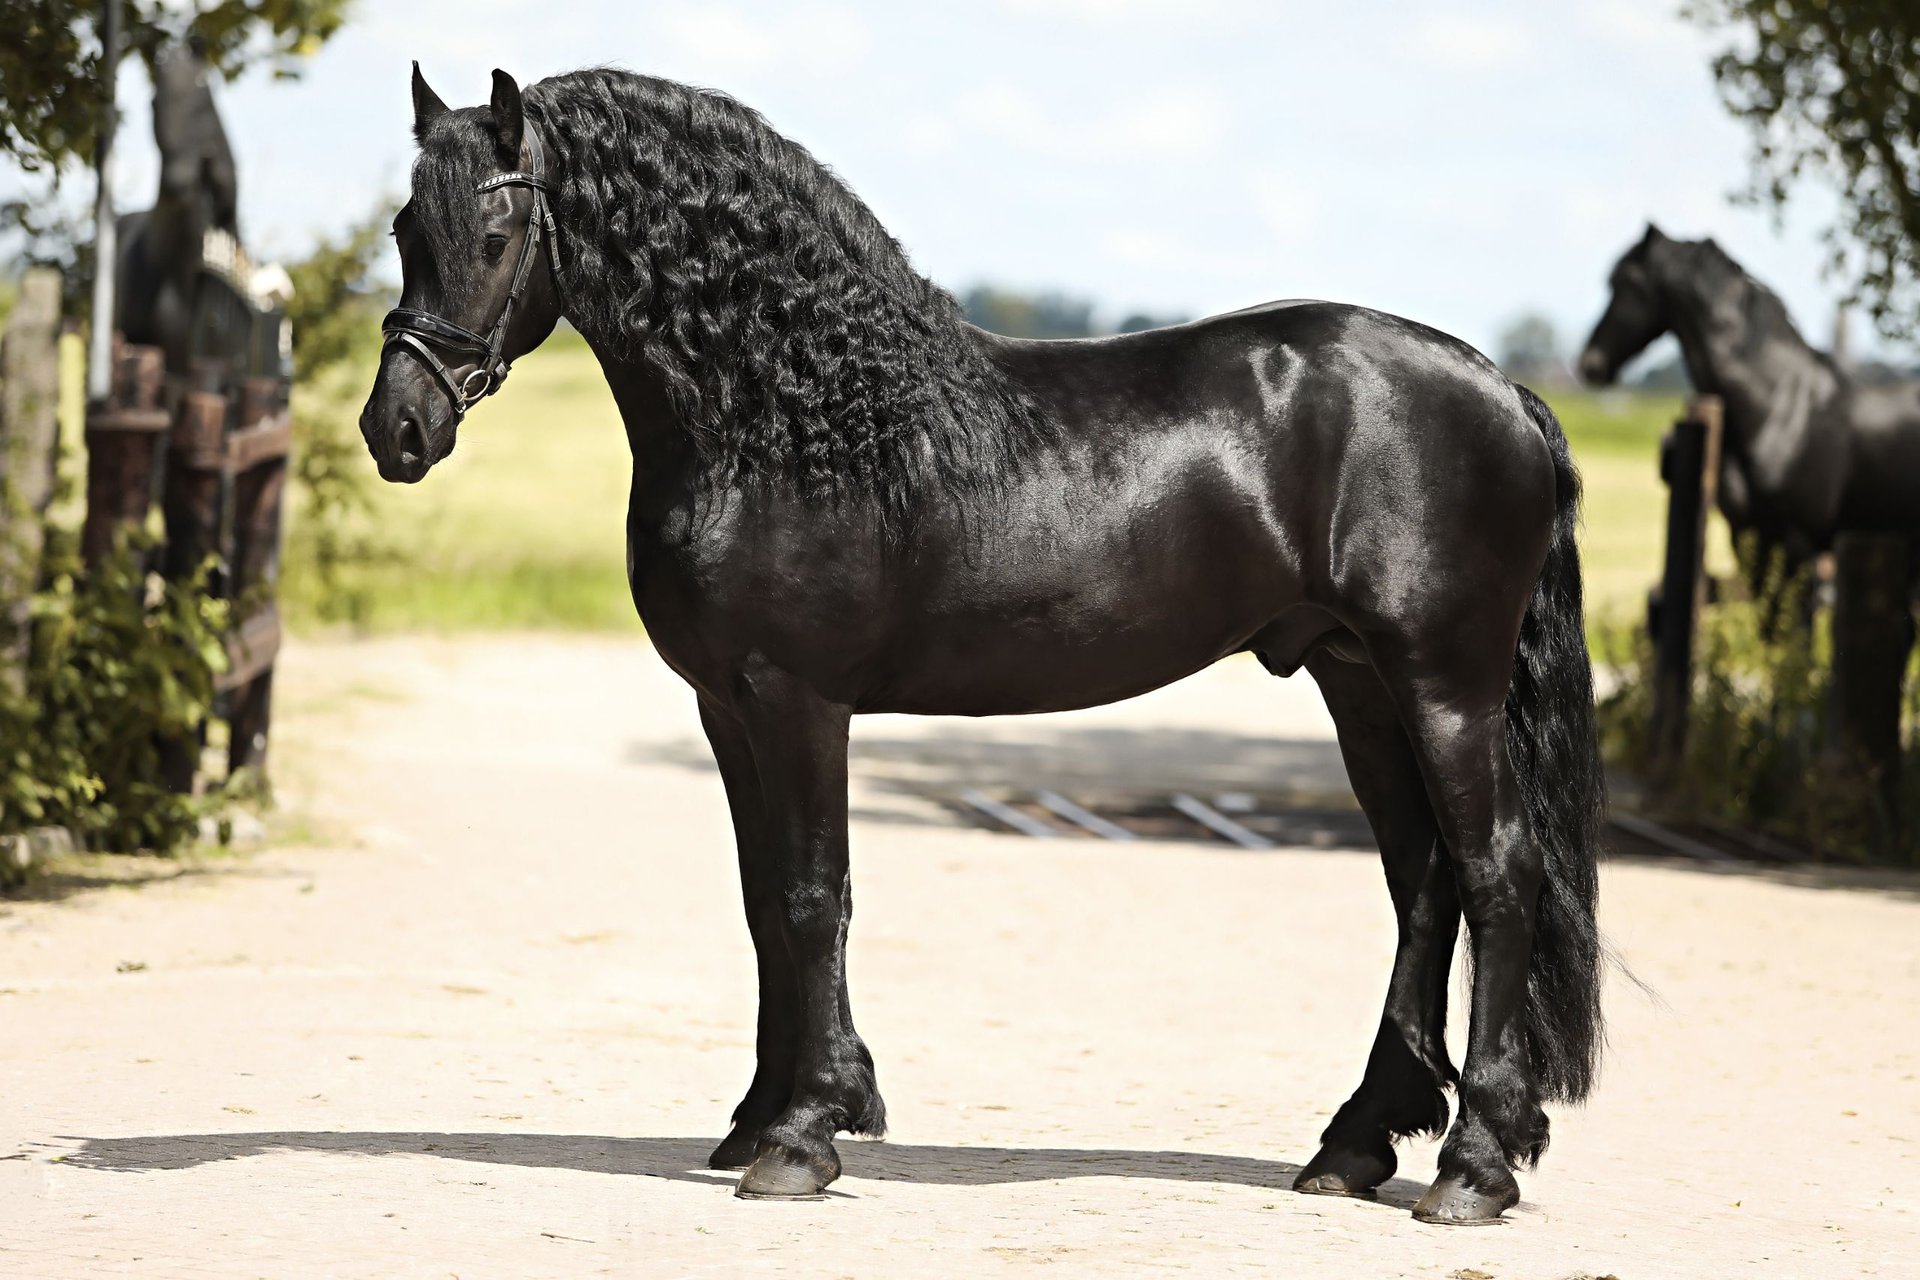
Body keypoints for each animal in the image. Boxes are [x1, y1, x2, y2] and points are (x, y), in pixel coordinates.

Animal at [361, 65, 1608, 1226]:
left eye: (495, 234)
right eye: (404, 232)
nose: (397, 430)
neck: (798, 421)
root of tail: (1505, 390)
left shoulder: (798, 698)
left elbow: (812, 893)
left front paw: (805, 1134)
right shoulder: (727, 703)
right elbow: (764, 900)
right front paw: (761, 1115)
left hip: (1443, 681)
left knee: (1497, 873)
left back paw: (1472, 1166)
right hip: (1361, 683)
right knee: (1422, 884)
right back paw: (1355, 1143)